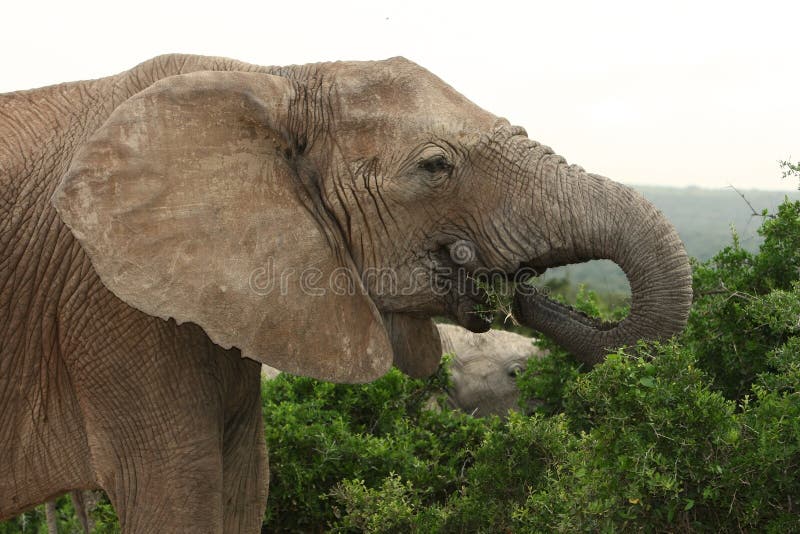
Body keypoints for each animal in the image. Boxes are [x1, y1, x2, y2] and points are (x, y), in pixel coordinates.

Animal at [0, 54, 692, 532]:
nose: (502, 285)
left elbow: (245, 486)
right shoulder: (106, 301)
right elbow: (177, 490)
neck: (272, 79)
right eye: (435, 166)